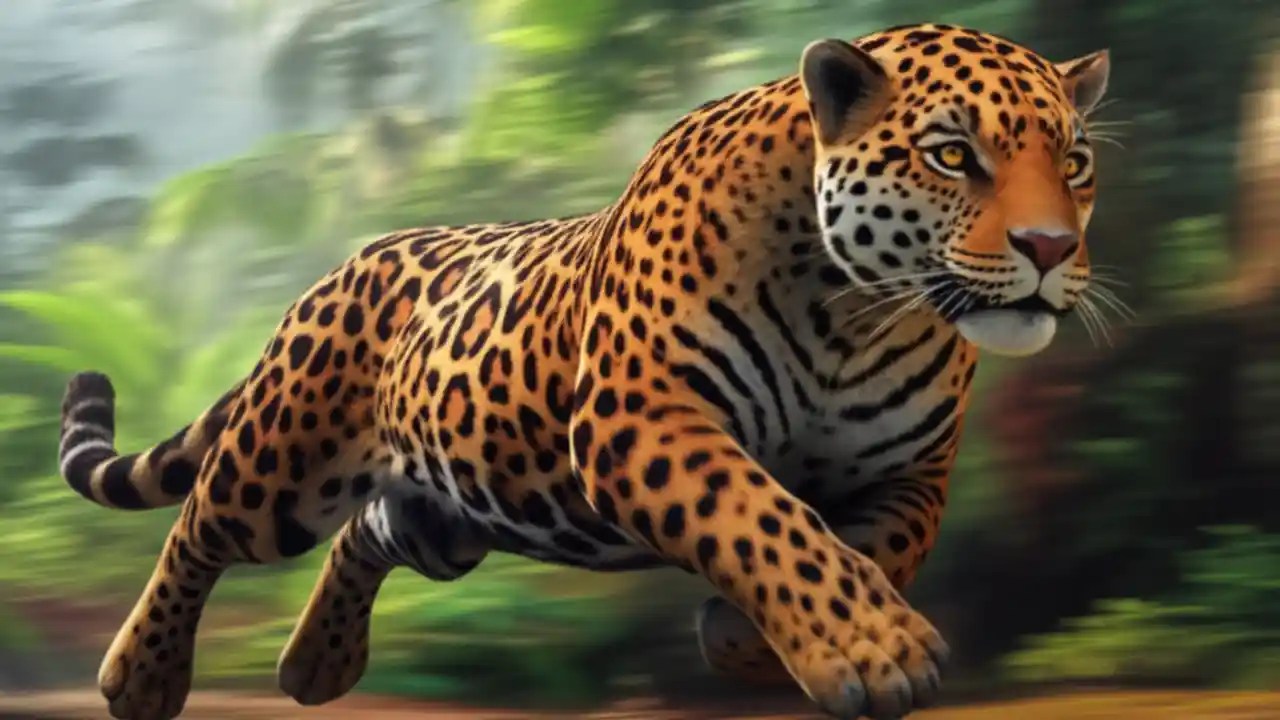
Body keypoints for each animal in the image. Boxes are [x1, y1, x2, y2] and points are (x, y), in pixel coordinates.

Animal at [56, 23, 1110, 720]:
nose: (1052, 248)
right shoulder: (641, 419)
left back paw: (318, 665)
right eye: (952, 154)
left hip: (450, 515)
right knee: (199, 523)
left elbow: (869, 549)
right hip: (281, 467)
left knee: (366, 532)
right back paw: (142, 676)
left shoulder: (910, 476)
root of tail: (346, 262)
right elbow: (765, 520)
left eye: (1075, 162)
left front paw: (745, 637)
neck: (852, 311)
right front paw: (873, 649)